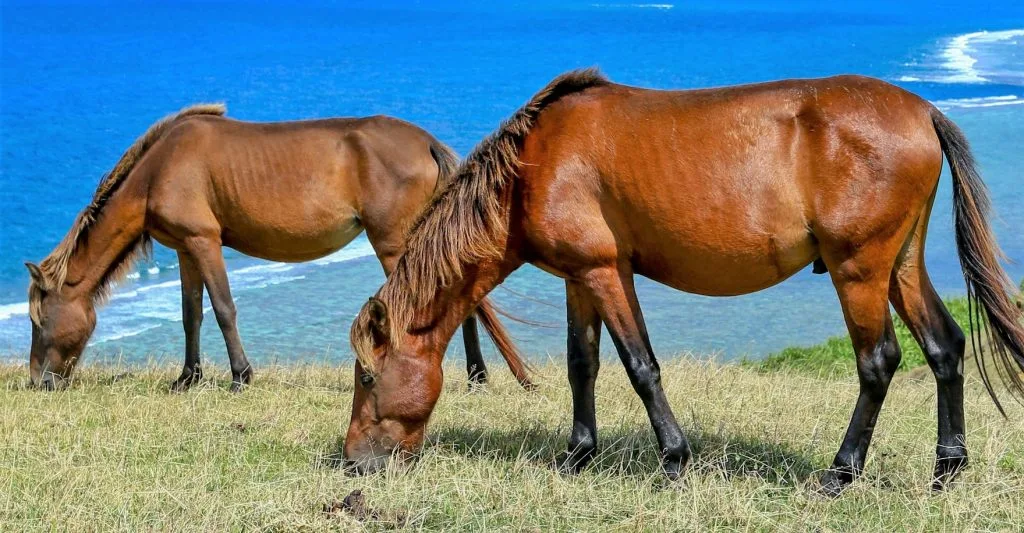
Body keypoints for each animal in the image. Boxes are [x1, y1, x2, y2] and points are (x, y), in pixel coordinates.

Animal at [24, 105, 533, 392]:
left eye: (38, 320)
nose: (37, 381)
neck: (160, 169)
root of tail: (427, 142)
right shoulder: (185, 250)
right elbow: (191, 315)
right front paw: (188, 378)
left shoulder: (204, 241)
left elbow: (224, 308)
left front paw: (240, 376)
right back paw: (477, 376)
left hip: (395, 242)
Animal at [343, 69, 1024, 495]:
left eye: (368, 377)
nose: (353, 463)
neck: (532, 166)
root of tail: (924, 111)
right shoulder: (578, 280)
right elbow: (582, 364)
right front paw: (578, 455)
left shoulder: (605, 272)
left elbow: (640, 366)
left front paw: (673, 459)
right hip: (899, 266)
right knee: (944, 347)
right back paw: (946, 470)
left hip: (858, 268)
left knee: (878, 360)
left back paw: (840, 472)